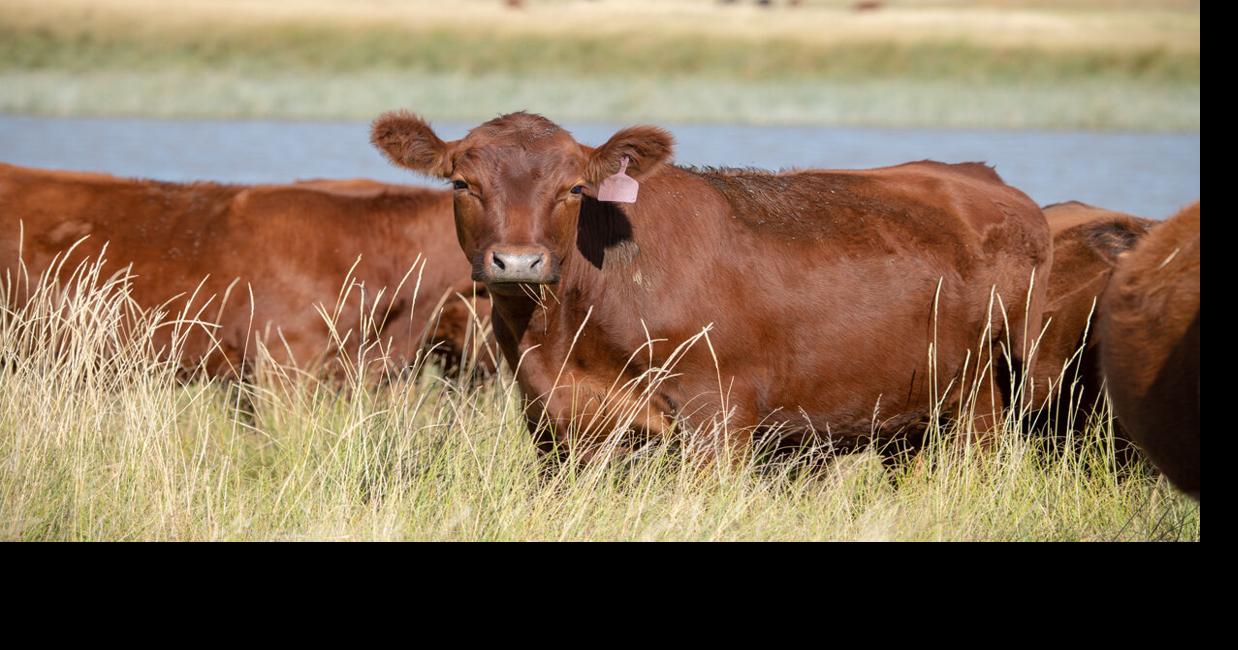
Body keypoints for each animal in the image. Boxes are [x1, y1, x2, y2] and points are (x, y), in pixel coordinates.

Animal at [370, 111, 1051, 465]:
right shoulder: (553, 422)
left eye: (573, 189)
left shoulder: (717, 418)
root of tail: (980, 178)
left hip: (985, 398)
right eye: (463, 184)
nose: (518, 262)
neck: (566, 334)